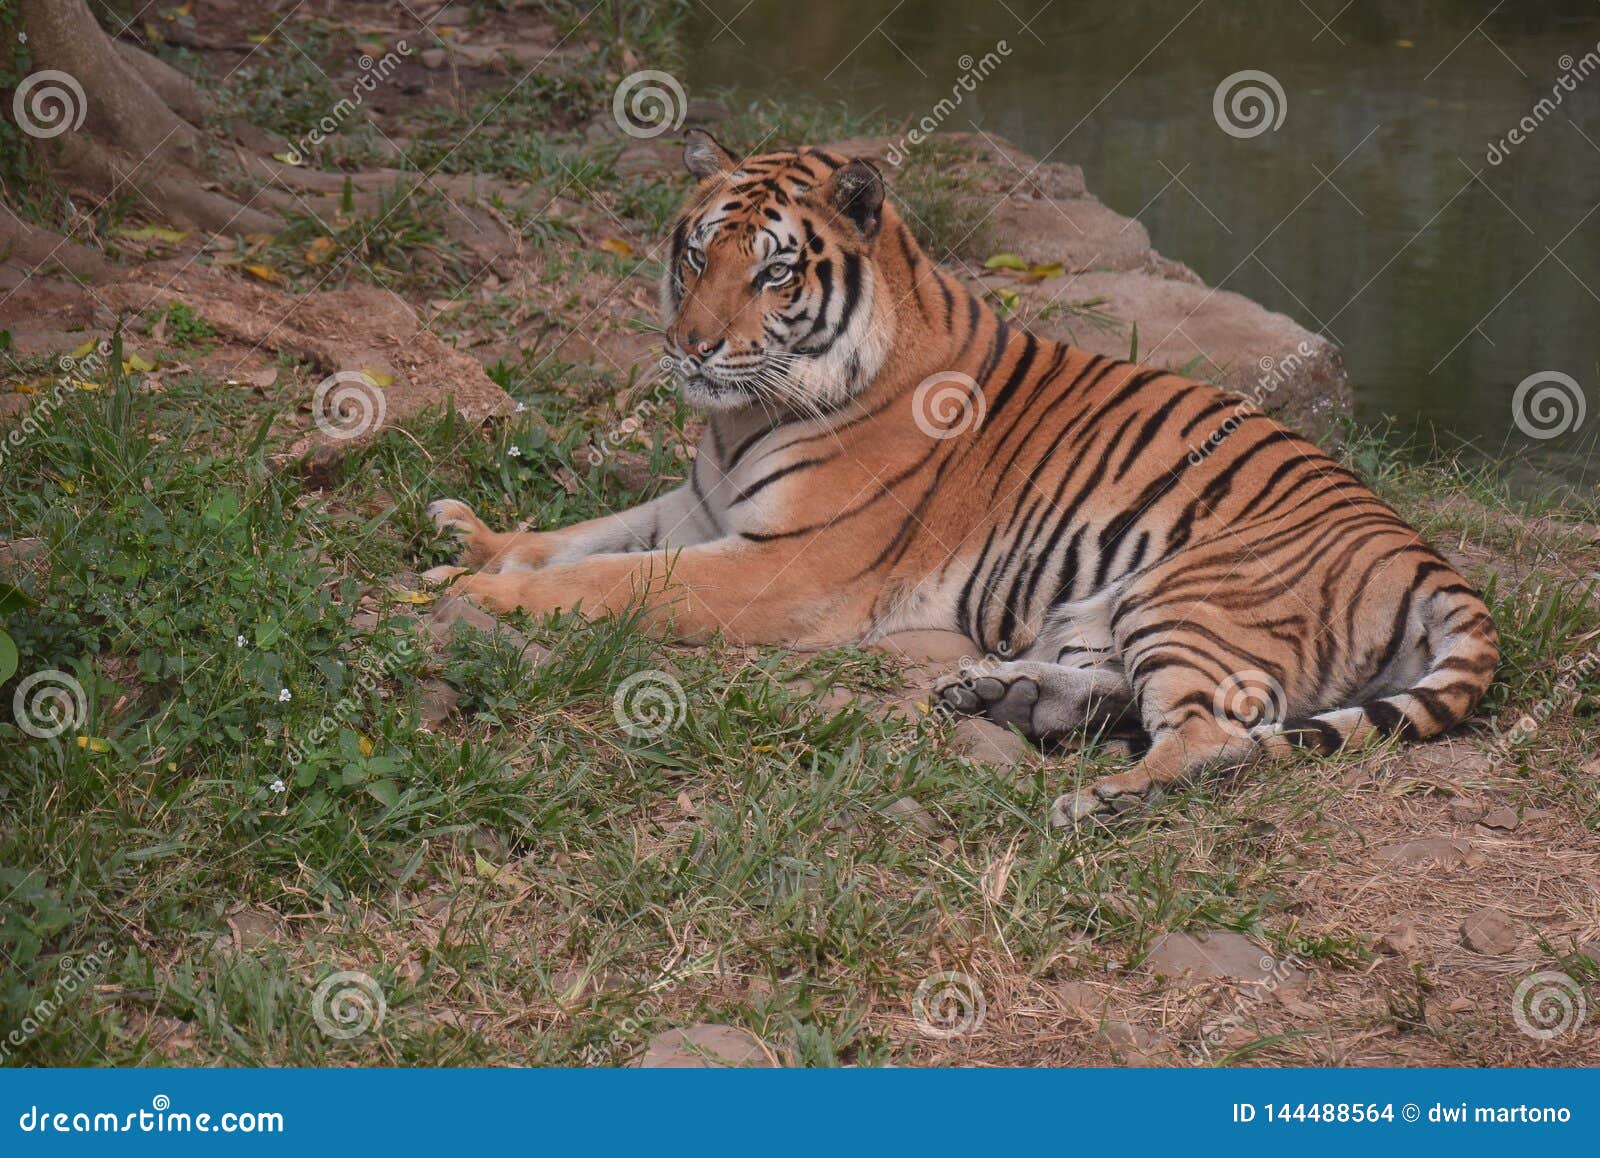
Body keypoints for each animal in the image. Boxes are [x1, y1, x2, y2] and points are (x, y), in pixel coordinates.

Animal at [428, 128, 1499, 826]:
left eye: (773, 273)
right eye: (694, 255)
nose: (689, 347)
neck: (741, 418)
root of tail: (1430, 560)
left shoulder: (780, 566)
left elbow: (613, 579)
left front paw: (480, 594)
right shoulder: (701, 507)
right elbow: (583, 536)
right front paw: (465, 543)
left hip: (1190, 590)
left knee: (1216, 732)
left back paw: (1104, 795)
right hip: (1100, 605)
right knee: (1114, 688)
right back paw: (998, 697)